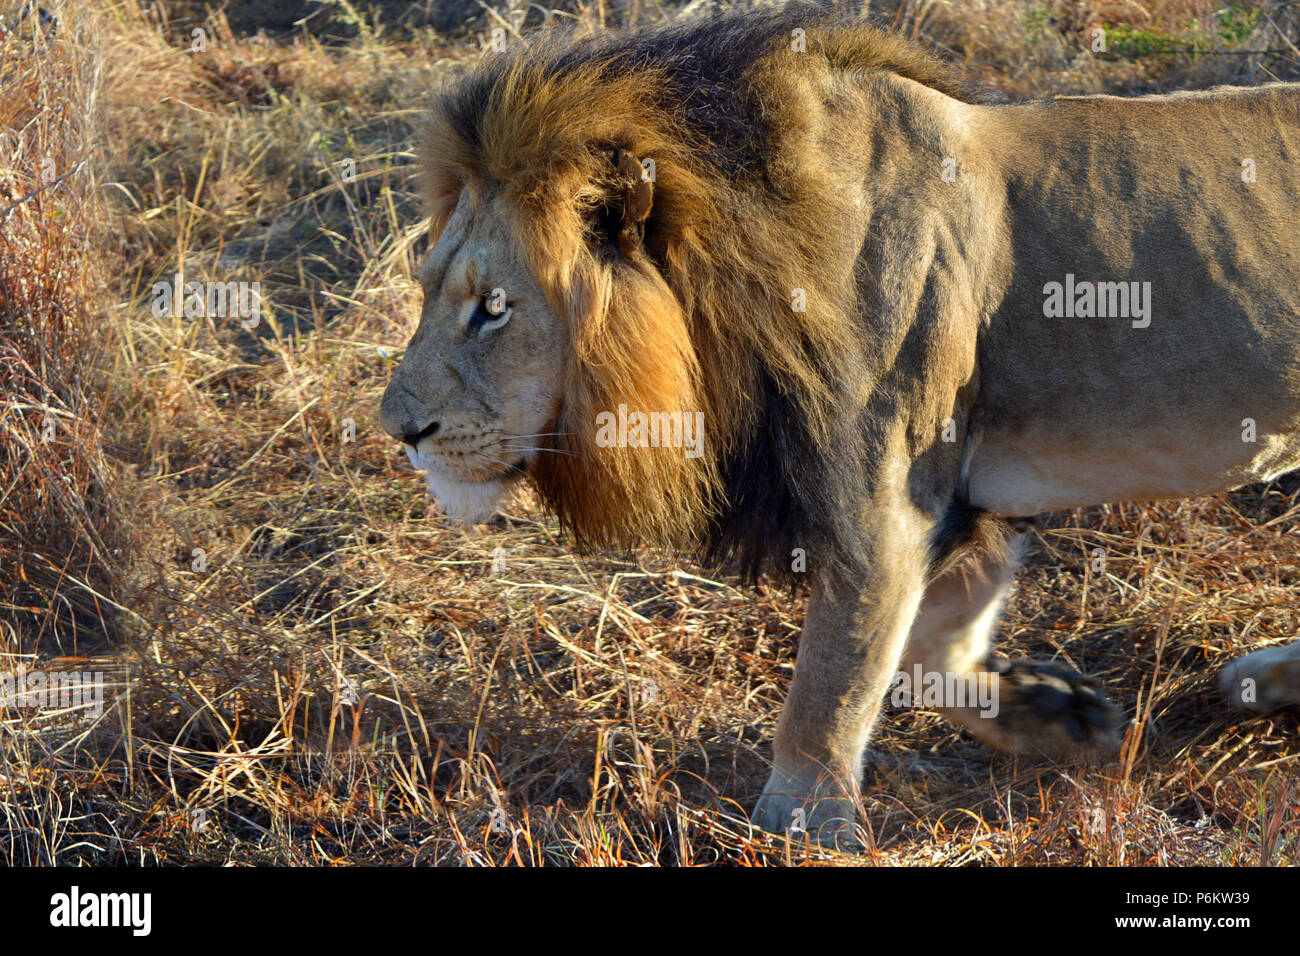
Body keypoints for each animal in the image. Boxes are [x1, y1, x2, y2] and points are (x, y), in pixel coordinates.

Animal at [379, 6, 1300, 845]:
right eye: (427, 291)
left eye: (495, 308)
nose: (397, 430)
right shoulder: (967, 493)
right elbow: (932, 651)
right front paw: (1054, 714)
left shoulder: (887, 500)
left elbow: (833, 681)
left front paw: (799, 824)